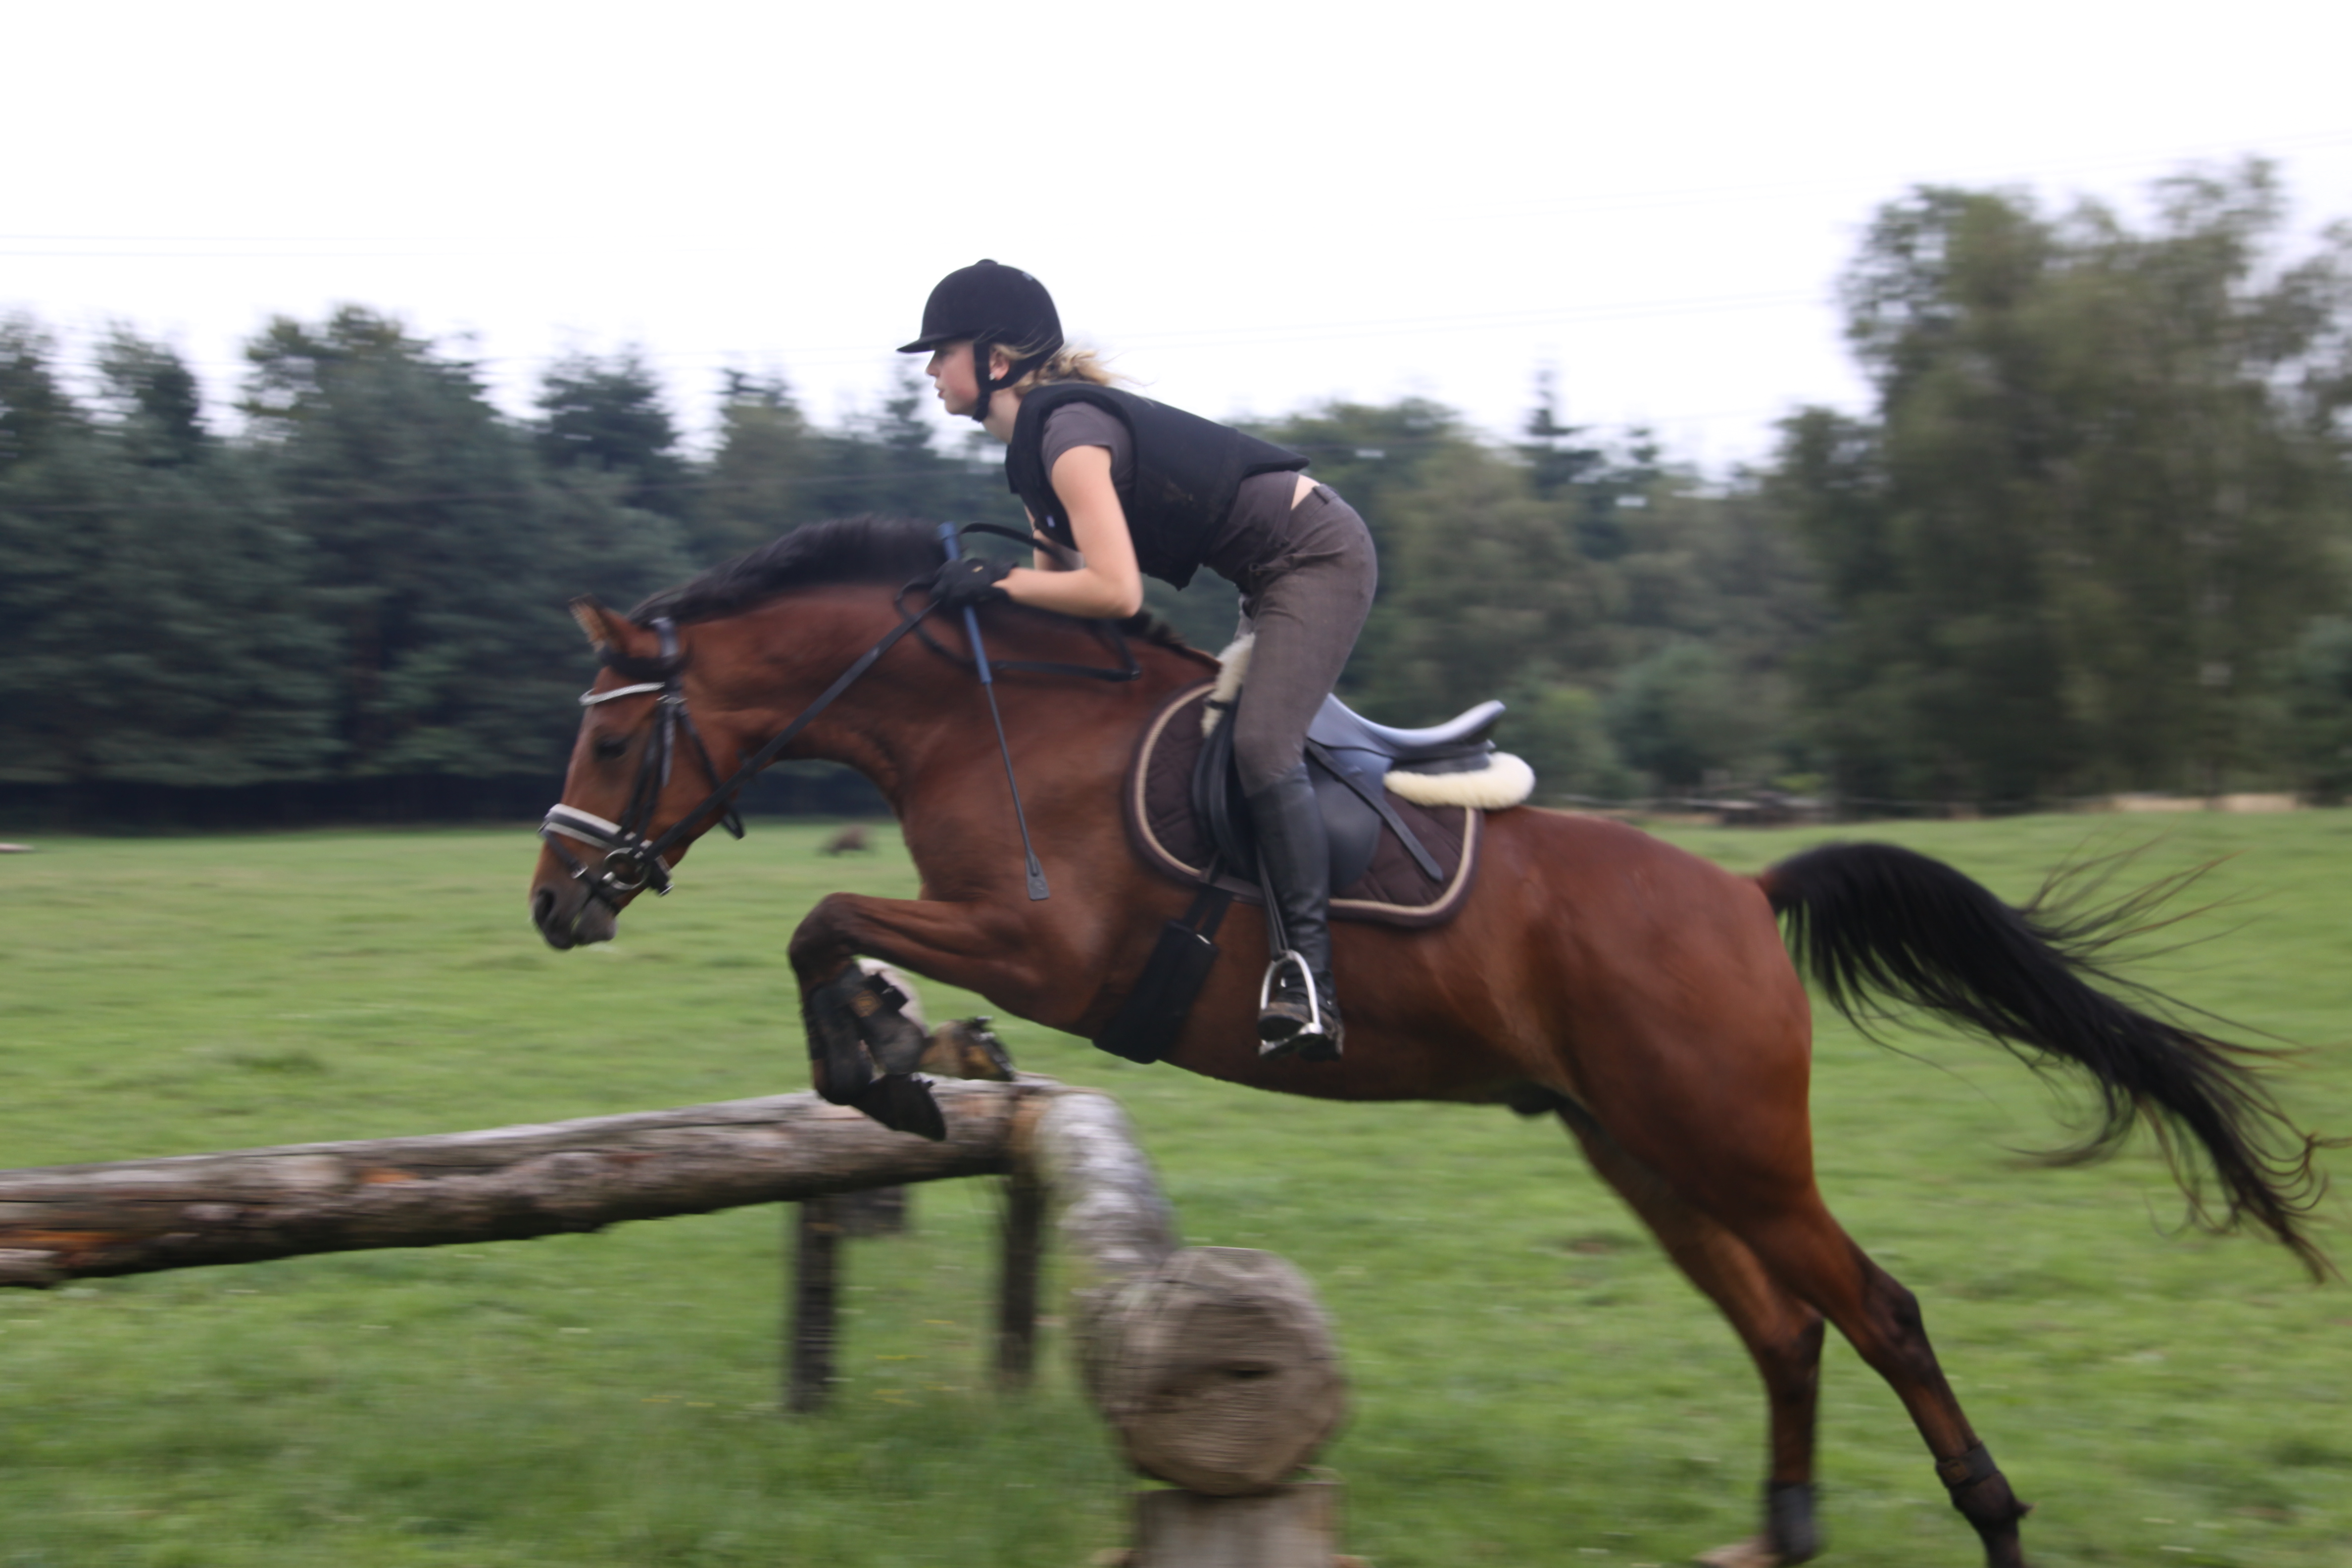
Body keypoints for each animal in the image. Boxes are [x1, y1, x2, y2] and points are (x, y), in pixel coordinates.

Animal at [526, 516, 2332, 1568]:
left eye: (612, 738)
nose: (554, 904)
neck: (995, 713)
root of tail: (1741, 892)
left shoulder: (1049, 944)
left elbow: (824, 910)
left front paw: (885, 1063)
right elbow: (832, 925)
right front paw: (897, 1052)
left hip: (1730, 1142)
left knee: (1872, 1308)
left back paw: (1993, 1520)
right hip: (1643, 1149)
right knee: (1783, 1326)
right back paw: (1784, 1531)